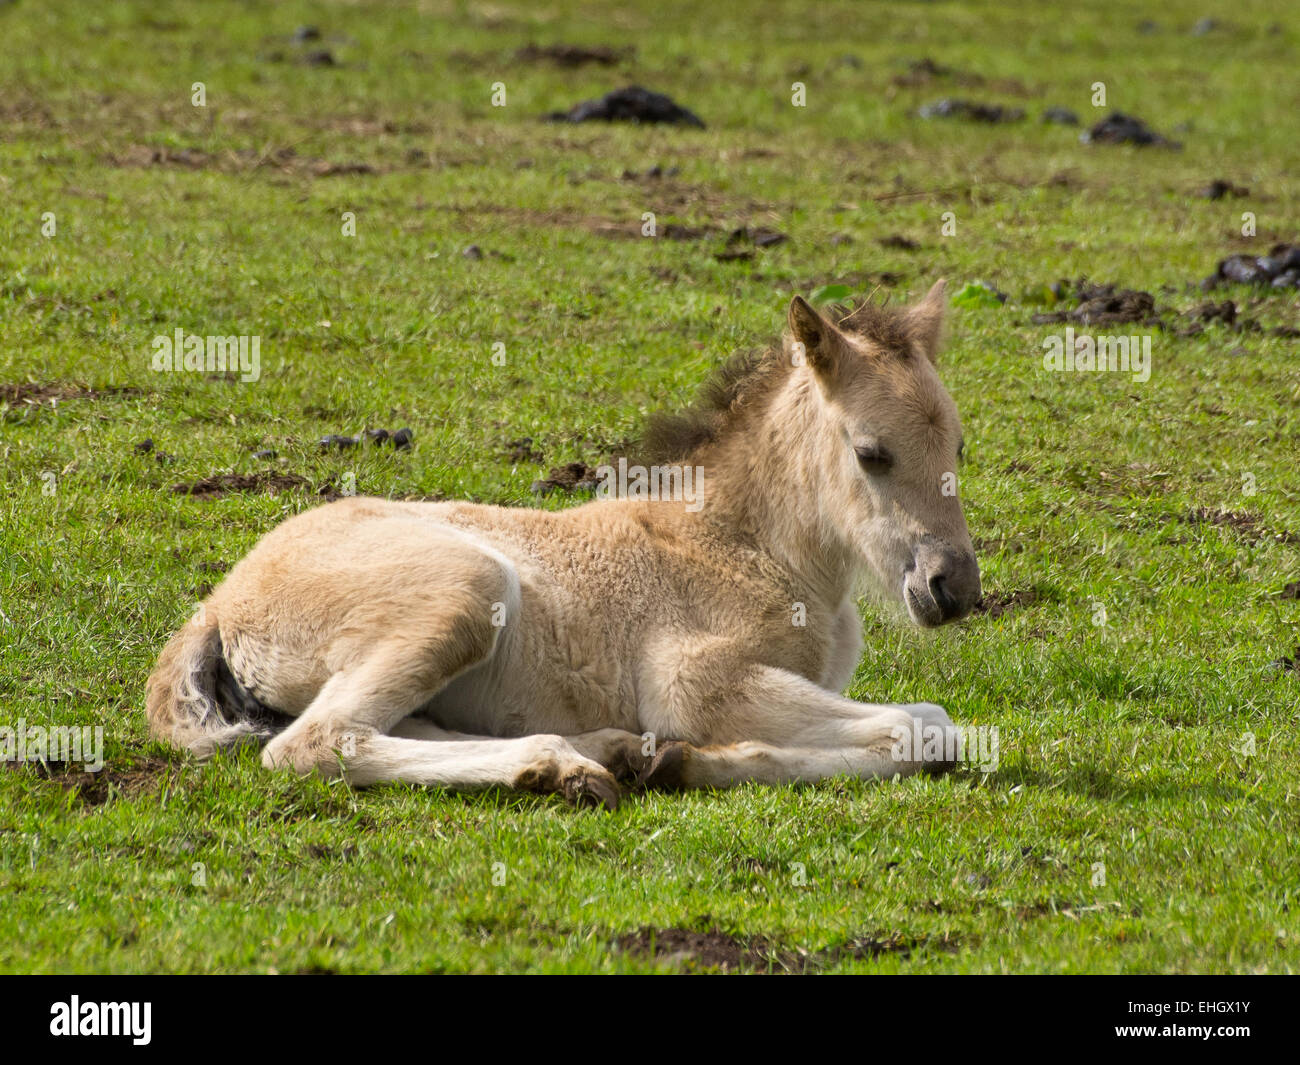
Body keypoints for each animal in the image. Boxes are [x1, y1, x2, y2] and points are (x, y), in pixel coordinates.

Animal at [146, 281, 980, 809]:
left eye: (959, 447)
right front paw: (689, 759)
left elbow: (925, 725)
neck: (746, 546)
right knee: (315, 741)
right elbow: (925, 725)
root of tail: (217, 603)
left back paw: (608, 750)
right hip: (468, 591)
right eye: (872, 452)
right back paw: (561, 767)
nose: (955, 587)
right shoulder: (694, 680)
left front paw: (676, 759)